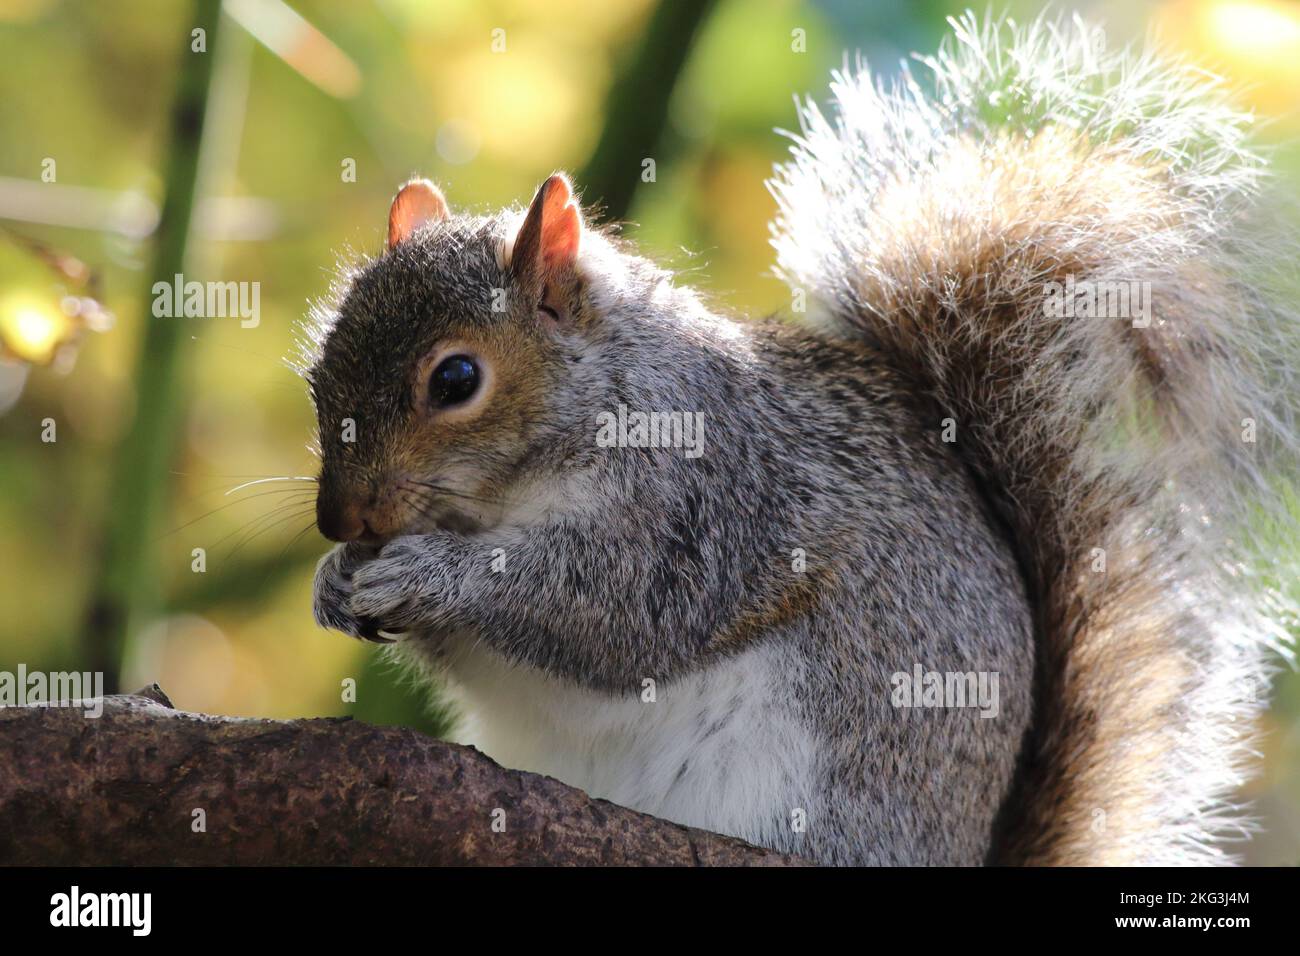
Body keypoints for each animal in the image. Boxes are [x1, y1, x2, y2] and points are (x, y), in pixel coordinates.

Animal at [300, 14, 1298, 865]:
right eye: (316, 372)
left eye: (455, 381)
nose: (340, 519)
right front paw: (336, 581)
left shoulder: (713, 497)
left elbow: (620, 613)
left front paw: (430, 573)